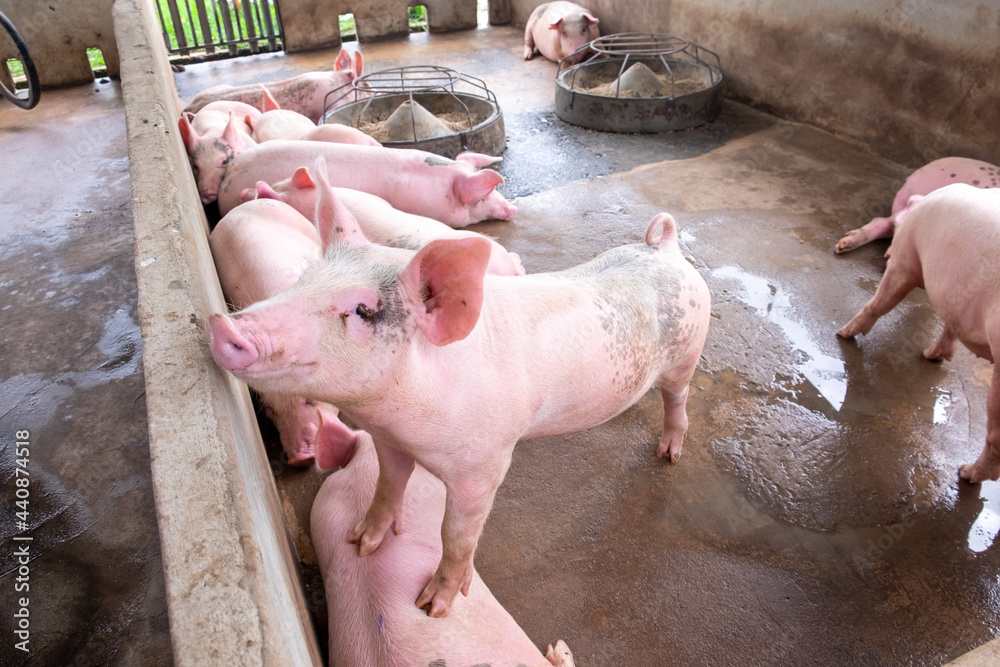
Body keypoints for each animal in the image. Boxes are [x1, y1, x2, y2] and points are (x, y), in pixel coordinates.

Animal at [837, 183, 1000, 484]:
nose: (928, 354)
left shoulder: (904, 263)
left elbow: (881, 300)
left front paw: (842, 334)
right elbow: (951, 322)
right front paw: (931, 356)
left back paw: (965, 474)